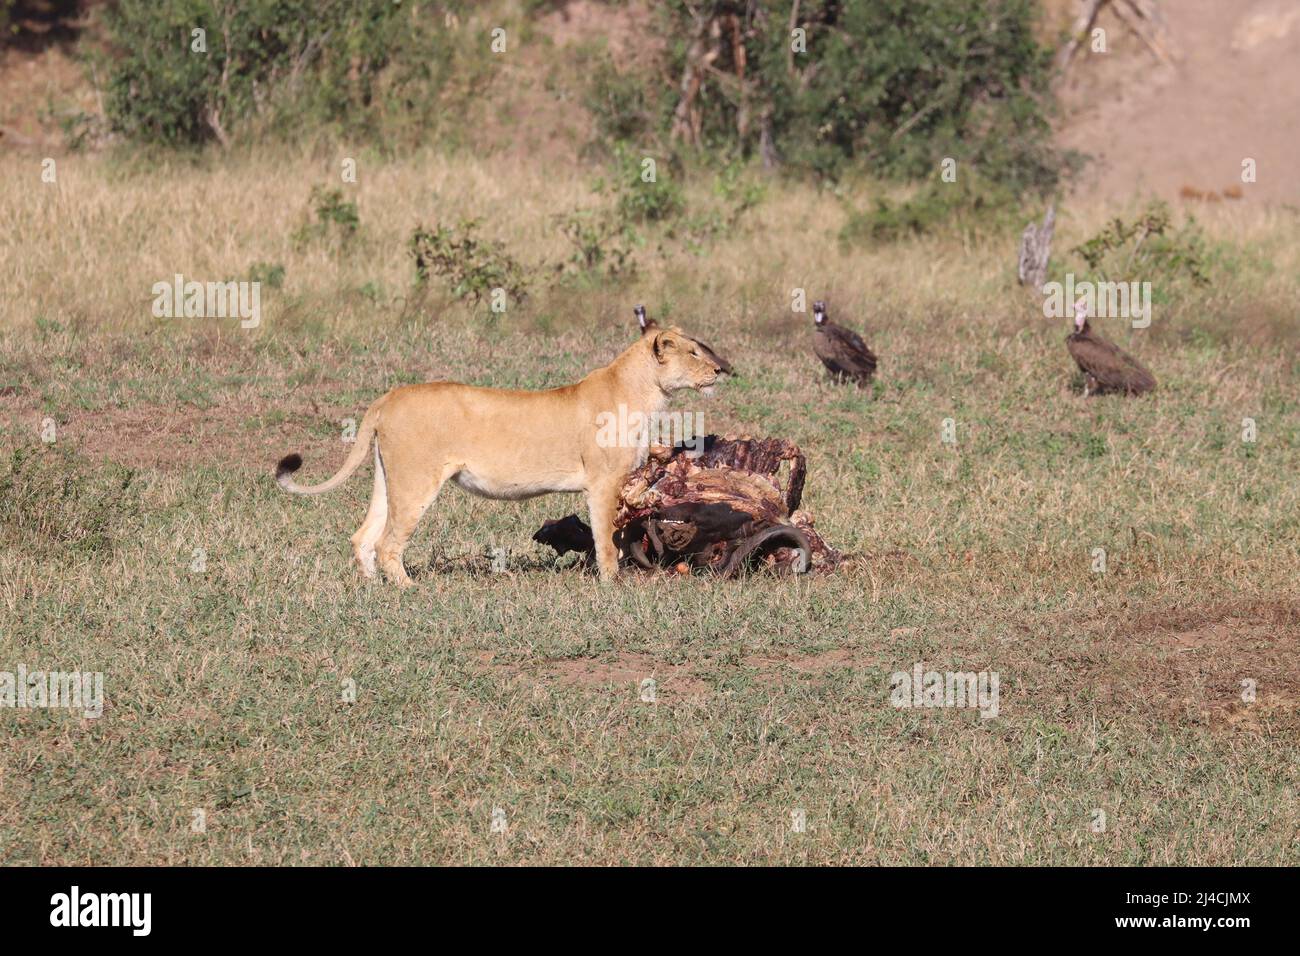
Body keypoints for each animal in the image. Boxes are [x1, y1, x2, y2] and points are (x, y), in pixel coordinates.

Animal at [275, 327, 725, 585]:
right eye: (693, 353)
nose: (722, 370)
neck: (645, 393)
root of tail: (389, 396)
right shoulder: (602, 483)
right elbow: (606, 538)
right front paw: (612, 583)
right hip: (416, 480)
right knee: (387, 542)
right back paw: (409, 590)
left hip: (390, 479)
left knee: (363, 536)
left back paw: (373, 590)